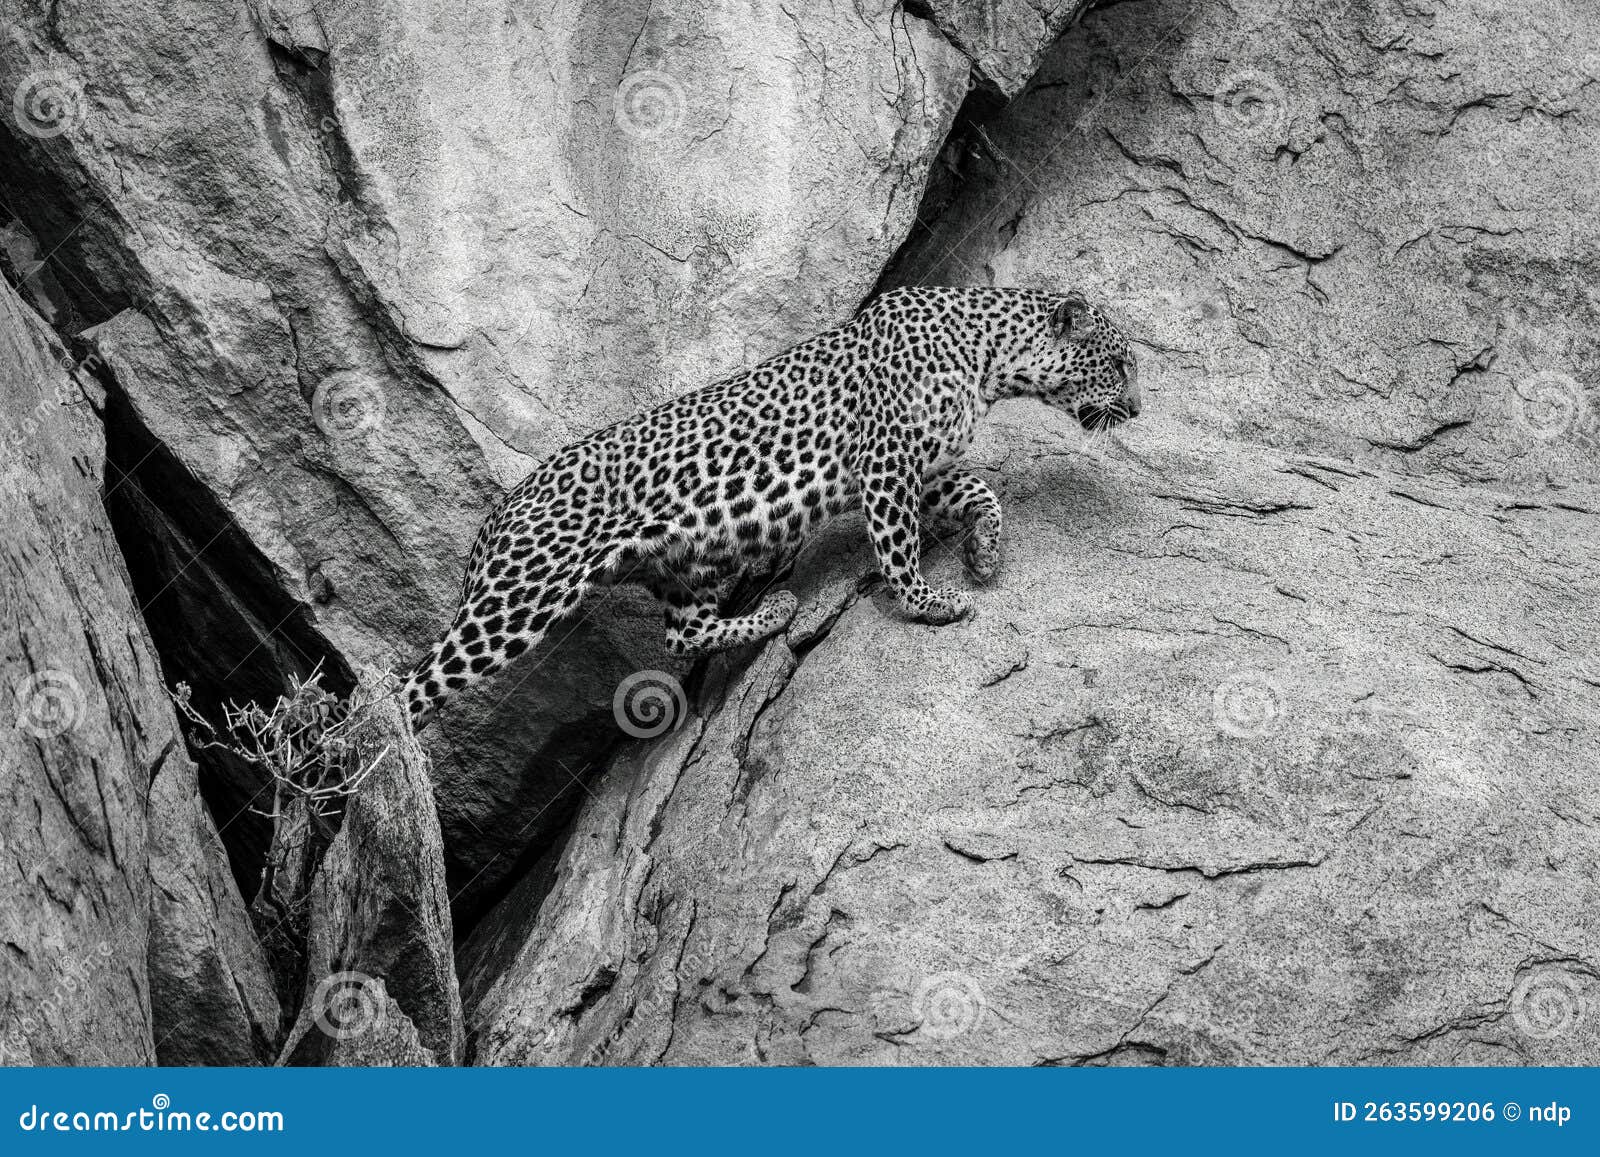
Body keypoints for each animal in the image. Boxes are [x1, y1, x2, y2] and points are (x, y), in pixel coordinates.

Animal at [402, 285, 1140, 730]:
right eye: (1121, 364)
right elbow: (897, 547)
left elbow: (979, 492)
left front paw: (984, 553)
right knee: (413, 684)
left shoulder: (919, 467)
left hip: (684, 562)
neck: (988, 358)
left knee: (681, 633)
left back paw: (776, 610)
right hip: (519, 597)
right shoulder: (887, 462)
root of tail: (498, 511)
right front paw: (929, 602)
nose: (1136, 409)